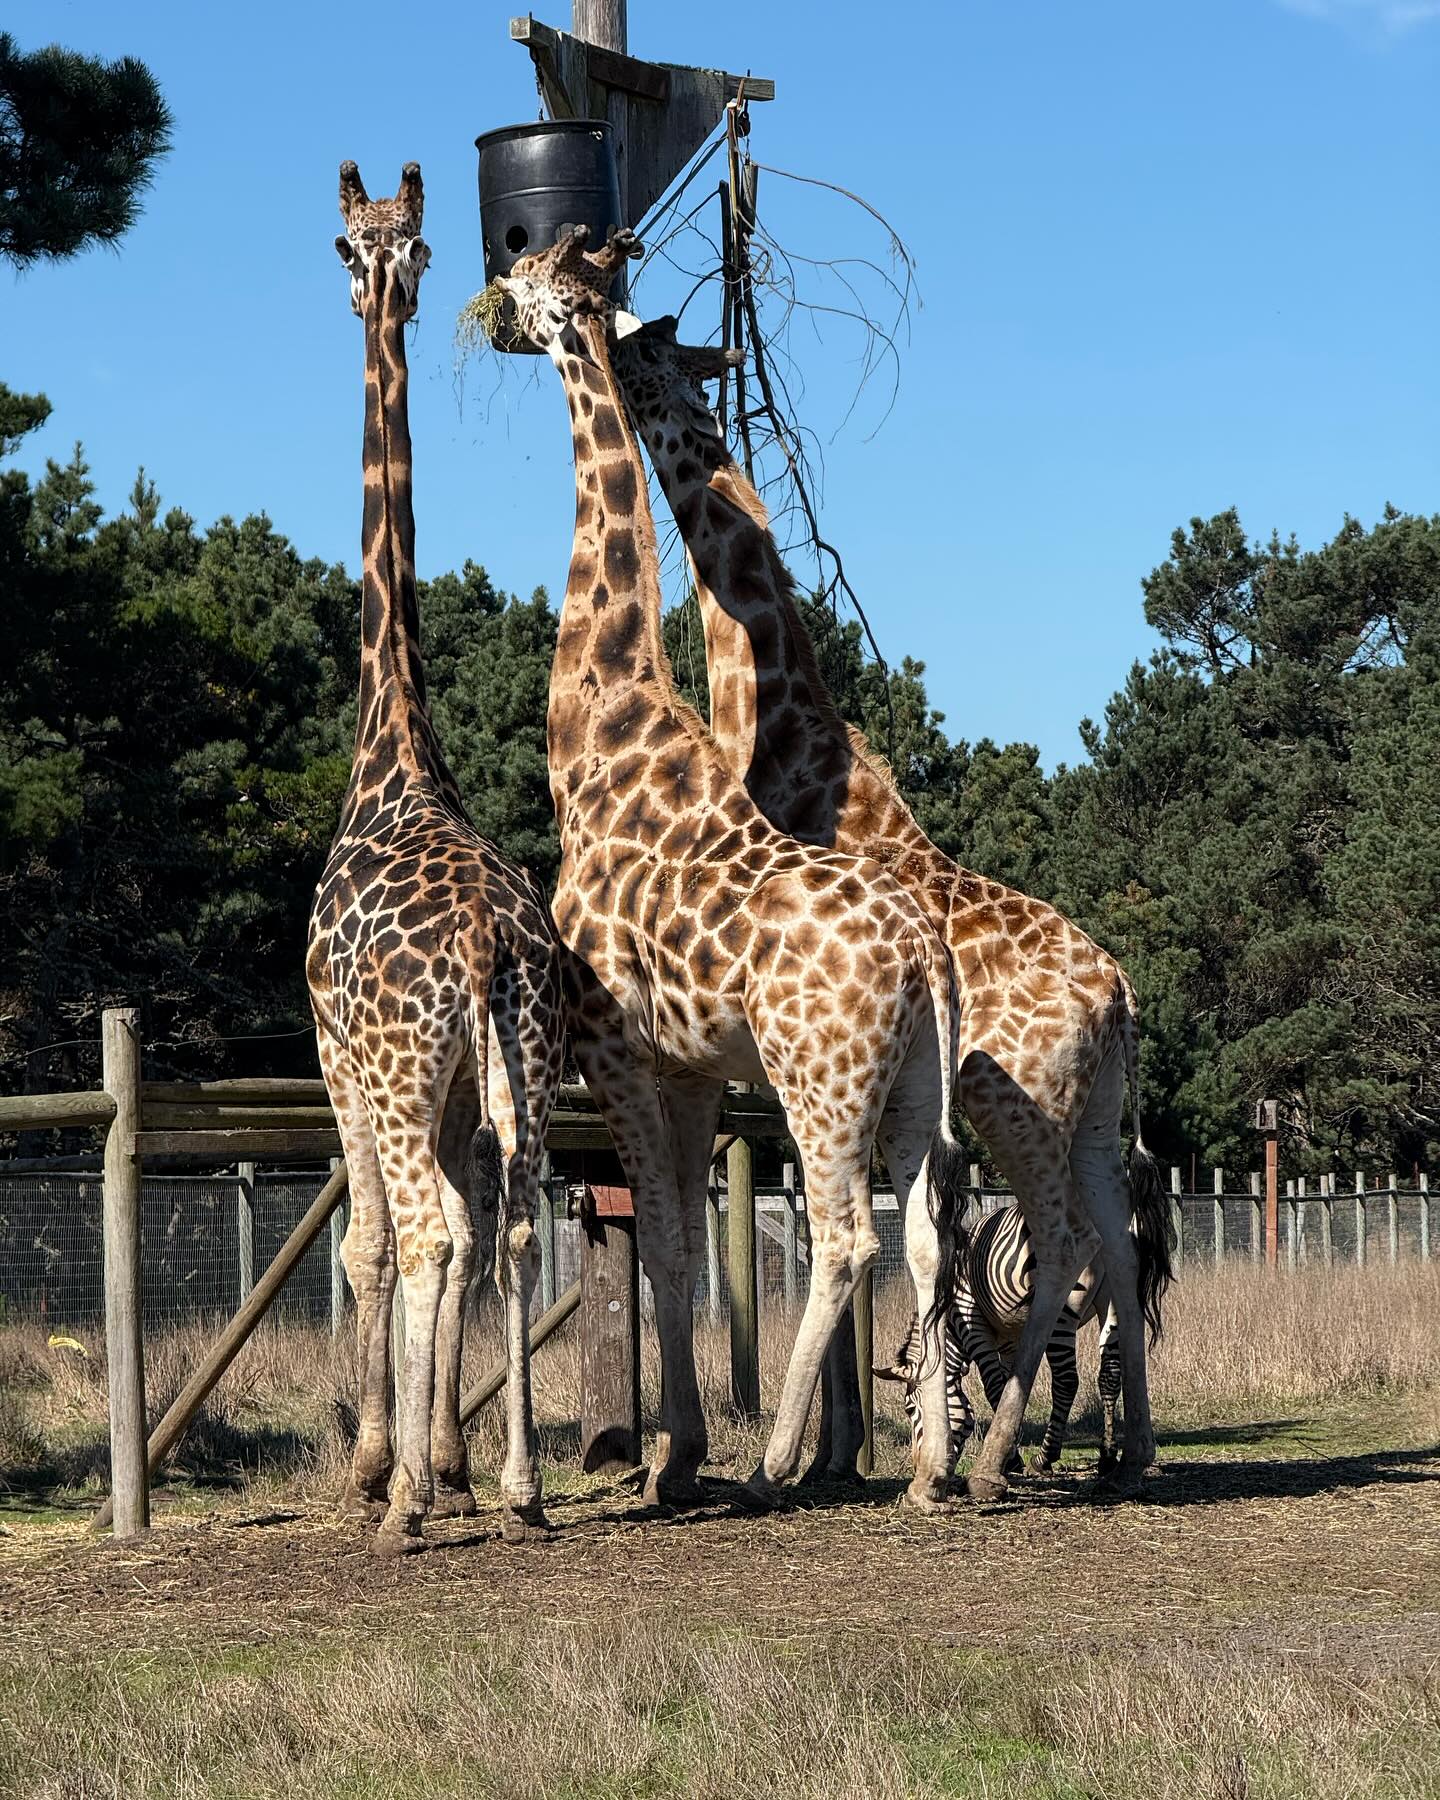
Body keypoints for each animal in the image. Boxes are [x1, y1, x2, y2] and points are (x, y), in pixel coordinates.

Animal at [493, 226, 967, 1510]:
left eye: (526, 281)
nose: (488, 310)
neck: (598, 737)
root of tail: (925, 956)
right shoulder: (690, 1060)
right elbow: (676, 1249)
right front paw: (678, 1450)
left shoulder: (612, 1046)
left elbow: (664, 1237)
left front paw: (681, 1460)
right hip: (912, 1081)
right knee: (924, 1232)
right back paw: (934, 1463)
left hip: (822, 1075)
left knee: (855, 1236)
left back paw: (784, 1461)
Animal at [877, 1195, 1173, 1479]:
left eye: (910, 1409)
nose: (916, 1466)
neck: (948, 1325)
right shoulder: (1011, 1340)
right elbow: (1012, 1387)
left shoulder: (973, 1324)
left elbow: (995, 1388)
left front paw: (1009, 1459)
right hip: (1114, 1295)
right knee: (1109, 1375)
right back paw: (1107, 1456)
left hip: (1062, 1305)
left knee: (1066, 1380)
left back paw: (1045, 1458)